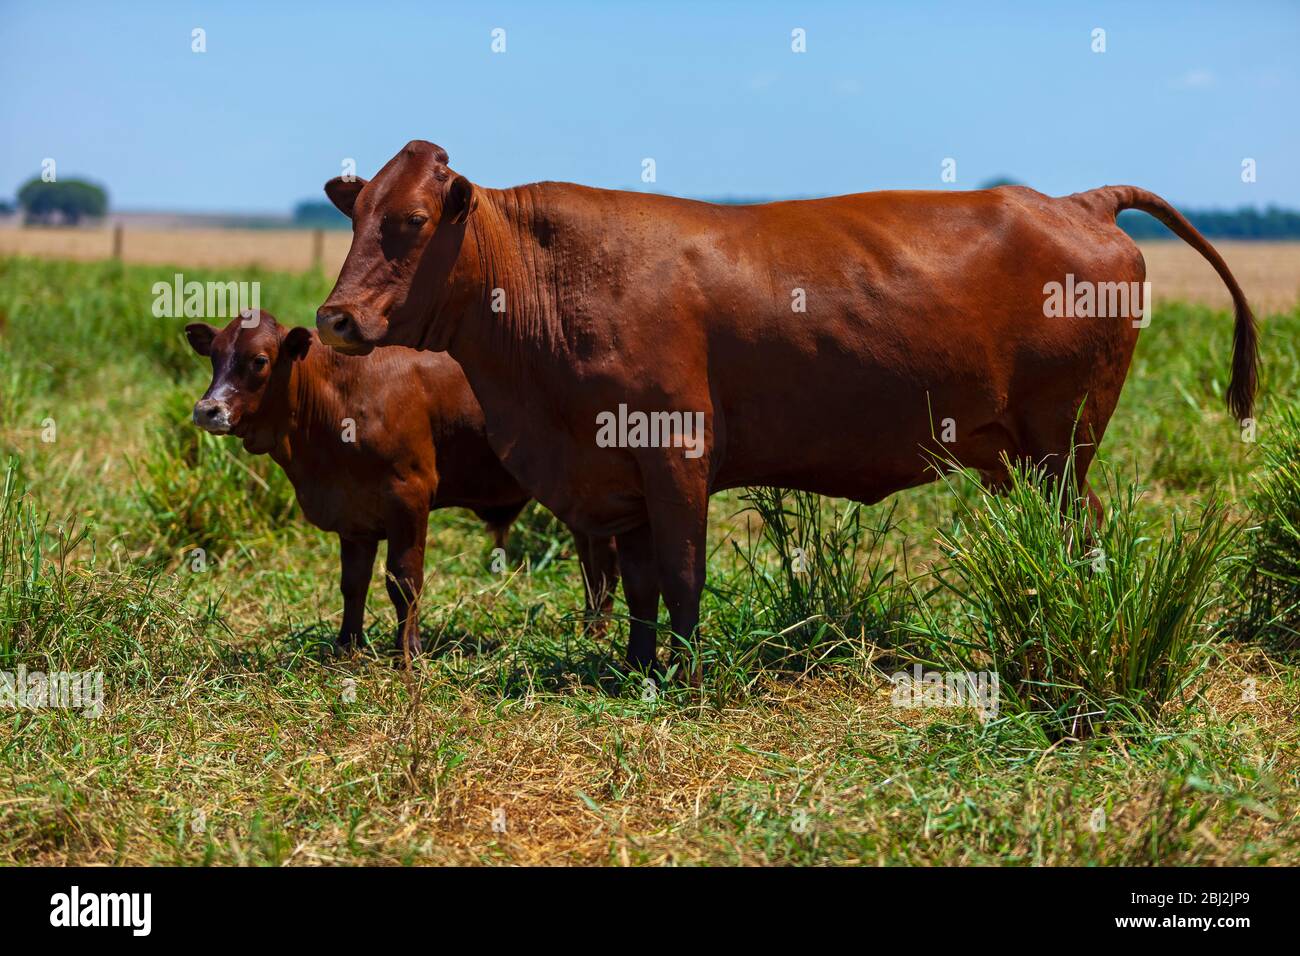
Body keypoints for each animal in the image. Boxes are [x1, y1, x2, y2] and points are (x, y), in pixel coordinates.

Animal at [185, 310, 619, 659]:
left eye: (259, 360)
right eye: (214, 357)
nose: (207, 410)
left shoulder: (409, 496)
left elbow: (404, 580)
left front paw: (408, 650)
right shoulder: (352, 514)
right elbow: (353, 584)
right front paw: (347, 646)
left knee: (603, 560)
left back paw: (597, 631)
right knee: (589, 557)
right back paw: (588, 626)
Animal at [314, 140, 1257, 682]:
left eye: (412, 219)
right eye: (357, 217)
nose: (336, 318)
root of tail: (1075, 201)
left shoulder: (676, 455)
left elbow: (683, 575)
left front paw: (689, 679)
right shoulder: (616, 474)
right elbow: (640, 584)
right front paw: (638, 668)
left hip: (1063, 447)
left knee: (1084, 528)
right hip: (1020, 460)